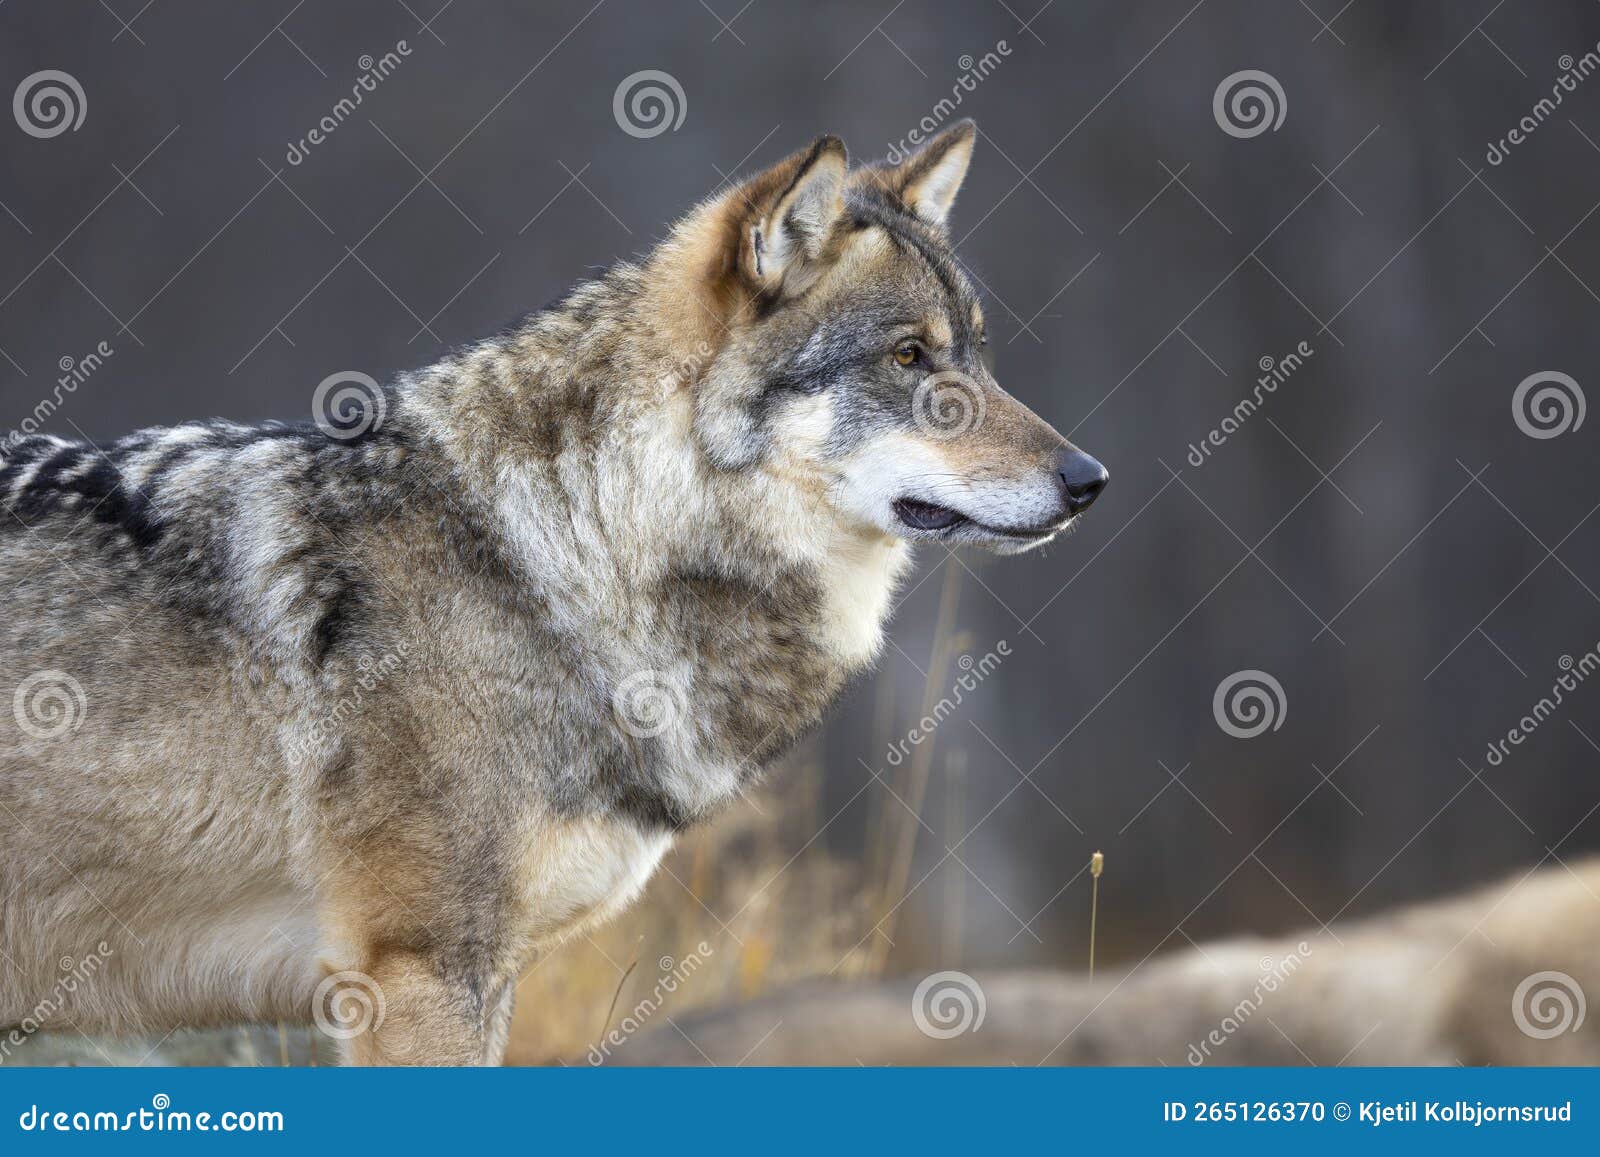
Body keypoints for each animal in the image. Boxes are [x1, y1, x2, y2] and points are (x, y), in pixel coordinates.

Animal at [0, 121, 1106, 1064]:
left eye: (975, 354)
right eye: (910, 357)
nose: (1089, 479)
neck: (559, 548)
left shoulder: (479, 973)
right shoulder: (421, 972)